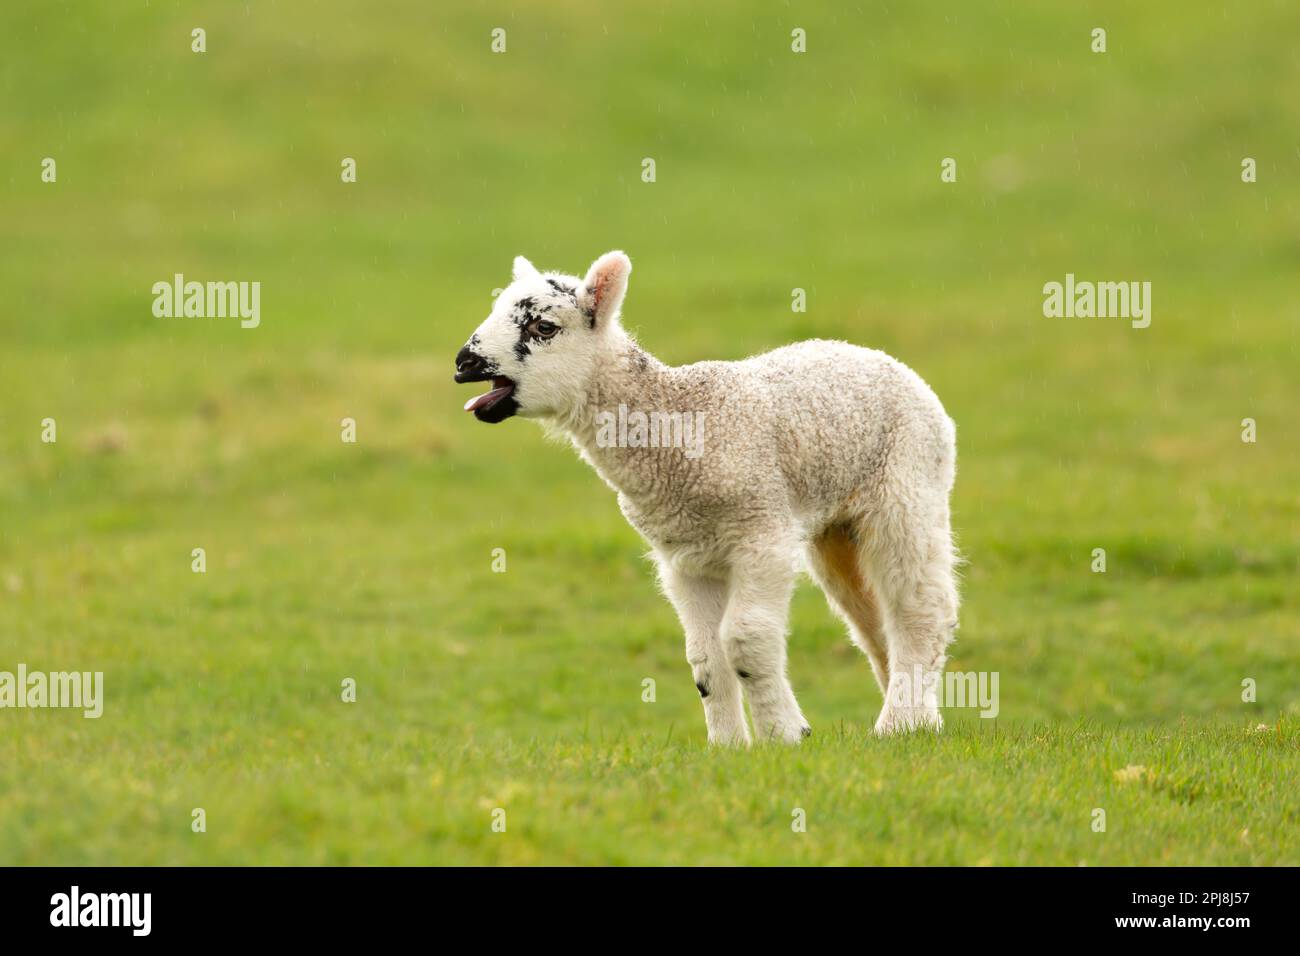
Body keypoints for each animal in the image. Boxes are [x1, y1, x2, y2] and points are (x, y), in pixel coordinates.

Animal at [455, 251, 960, 744]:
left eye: (544, 327)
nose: (464, 363)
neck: (675, 424)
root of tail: (882, 358)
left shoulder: (762, 532)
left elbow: (746, 641)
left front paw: (785, 736)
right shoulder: (685, 556)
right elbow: (706, 658)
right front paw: (729, 747)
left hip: (908, 487)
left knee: (919, 609)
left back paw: (897, 725)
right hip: (837, 527)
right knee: (871, 619)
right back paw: (921, 721)